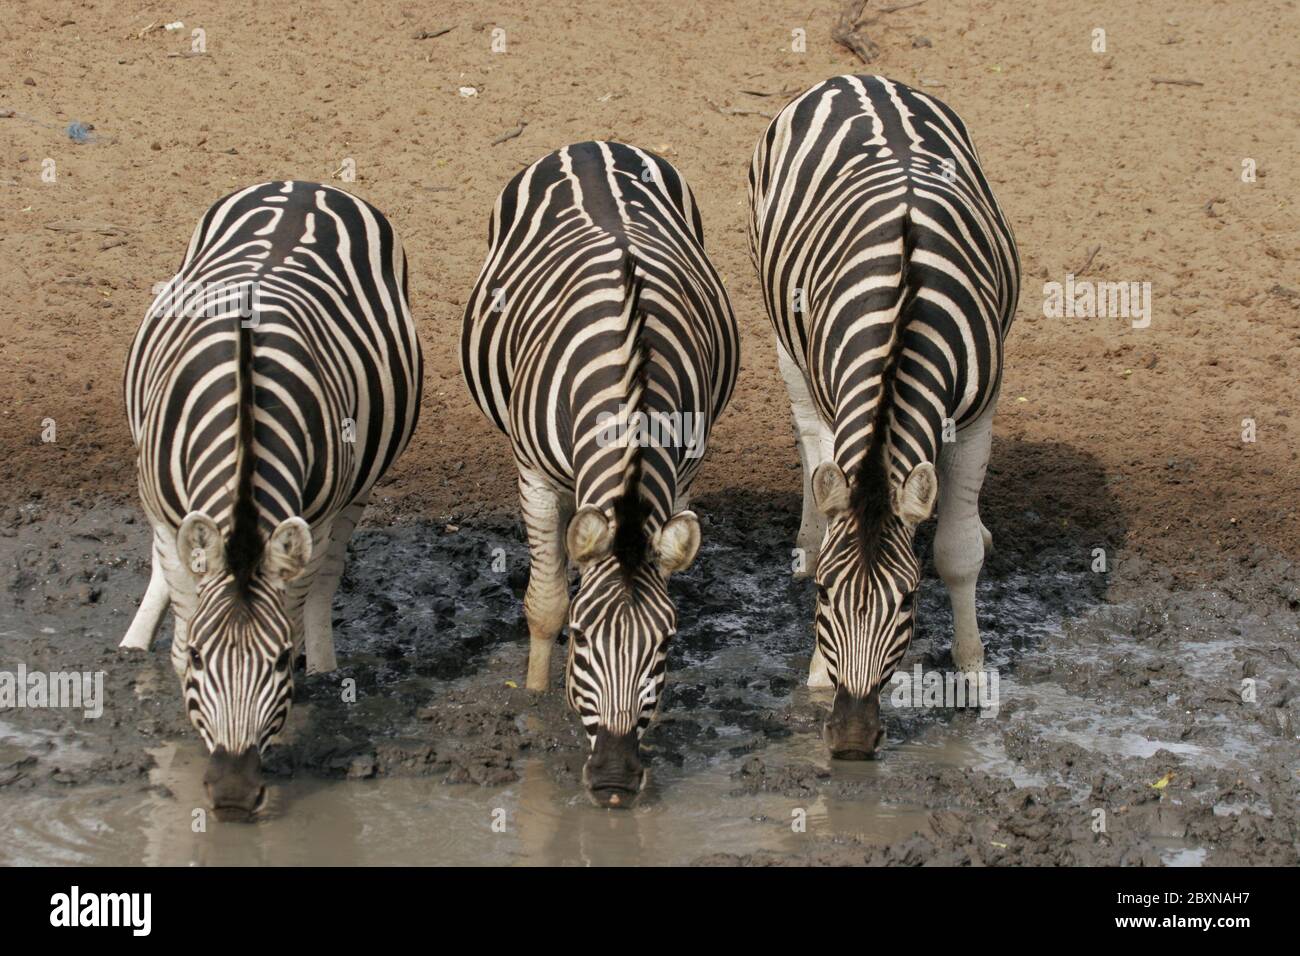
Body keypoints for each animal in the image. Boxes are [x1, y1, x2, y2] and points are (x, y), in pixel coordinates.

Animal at [120, 181, 423, 818]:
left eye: (279, 662)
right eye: (204, 660)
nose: (234, 797)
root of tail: (307, 184)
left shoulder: (316, 516)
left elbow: (296, 604)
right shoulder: (162, 509)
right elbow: (181, 594)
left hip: (358, 485)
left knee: (327, 575)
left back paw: (328, 667)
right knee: (165, 566)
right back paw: (133, 642)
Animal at [462, 141, 738, 806]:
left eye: (665, 644)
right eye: (584, 639)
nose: (614, 781)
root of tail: (591, 145)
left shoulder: (683, 471)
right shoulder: (534, 475)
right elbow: (547, 601)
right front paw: (538, 698)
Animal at [748, 75, 1020, 759]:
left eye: (907, 600)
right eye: (824, 596)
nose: (849, 741)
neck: (903, 304)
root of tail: (855, 79)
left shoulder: (978, 415)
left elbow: (955, 551)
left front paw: (974, 672)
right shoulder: (833, 396)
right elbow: (831, 482)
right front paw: (819, 671)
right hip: (786, 339)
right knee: (808, 445)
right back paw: (808, 535)